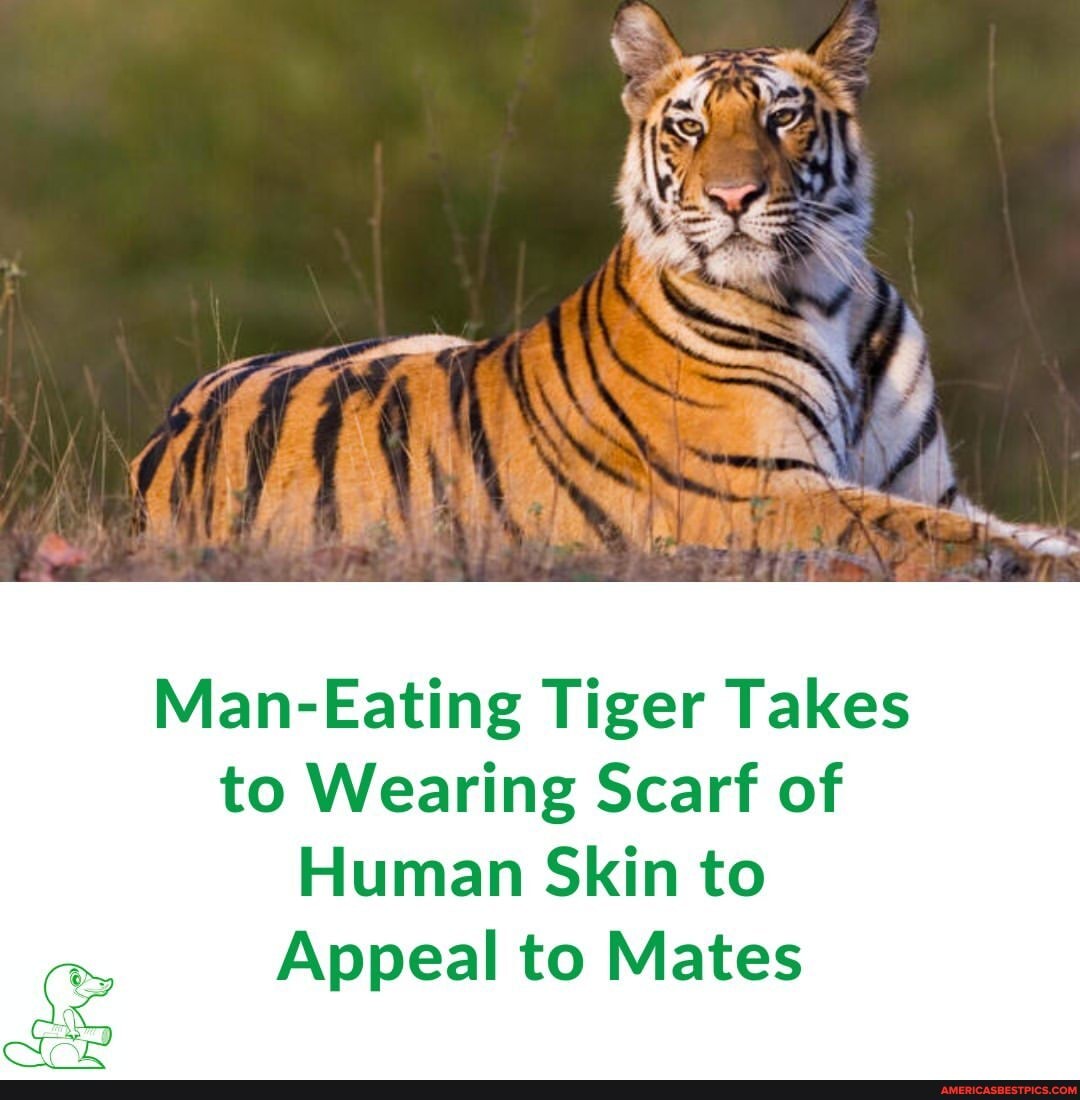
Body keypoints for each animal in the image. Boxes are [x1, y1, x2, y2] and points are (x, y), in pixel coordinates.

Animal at [132, 0, 1079, 574]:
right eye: (690, 127)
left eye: (783, 117)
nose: (734, 197)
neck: (824, 297)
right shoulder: (759, 490)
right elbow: (939, 537)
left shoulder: (925, 481)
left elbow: (990, 522)